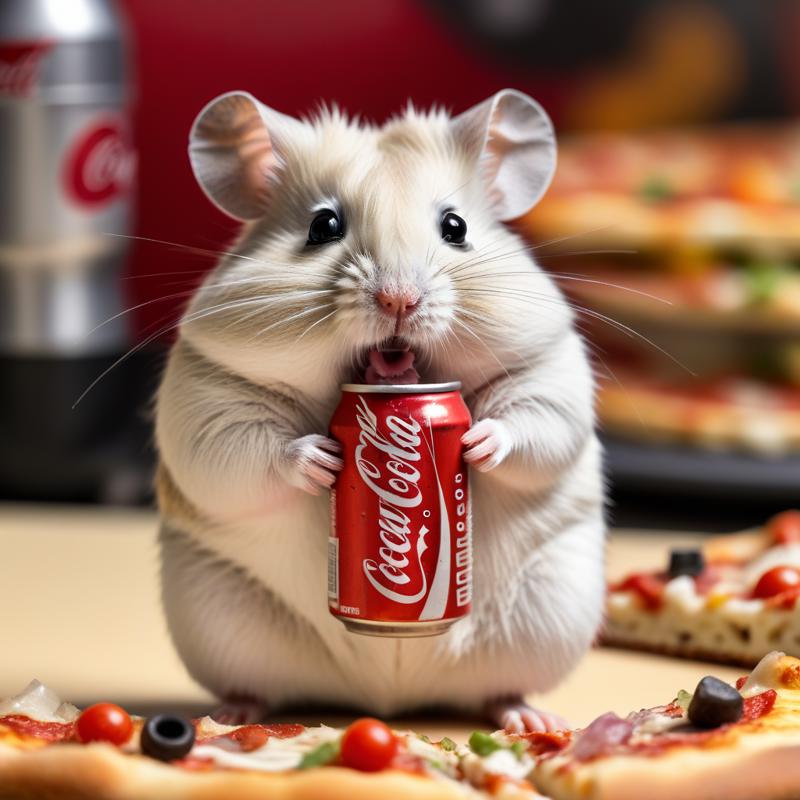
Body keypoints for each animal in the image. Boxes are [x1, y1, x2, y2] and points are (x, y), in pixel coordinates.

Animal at [154, 89, 605, 733]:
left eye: (455, 227)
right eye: (323, 225)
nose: (399, 299)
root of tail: (386, 699)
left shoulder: (549, 368)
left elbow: (534, 424)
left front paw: (478, 444)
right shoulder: (208, 391)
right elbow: (239, 452)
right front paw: (322, 458)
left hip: (548, 613)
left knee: (501, 688)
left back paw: (531, 721)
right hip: (218, 616)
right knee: (254, 684)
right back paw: (230, 716)